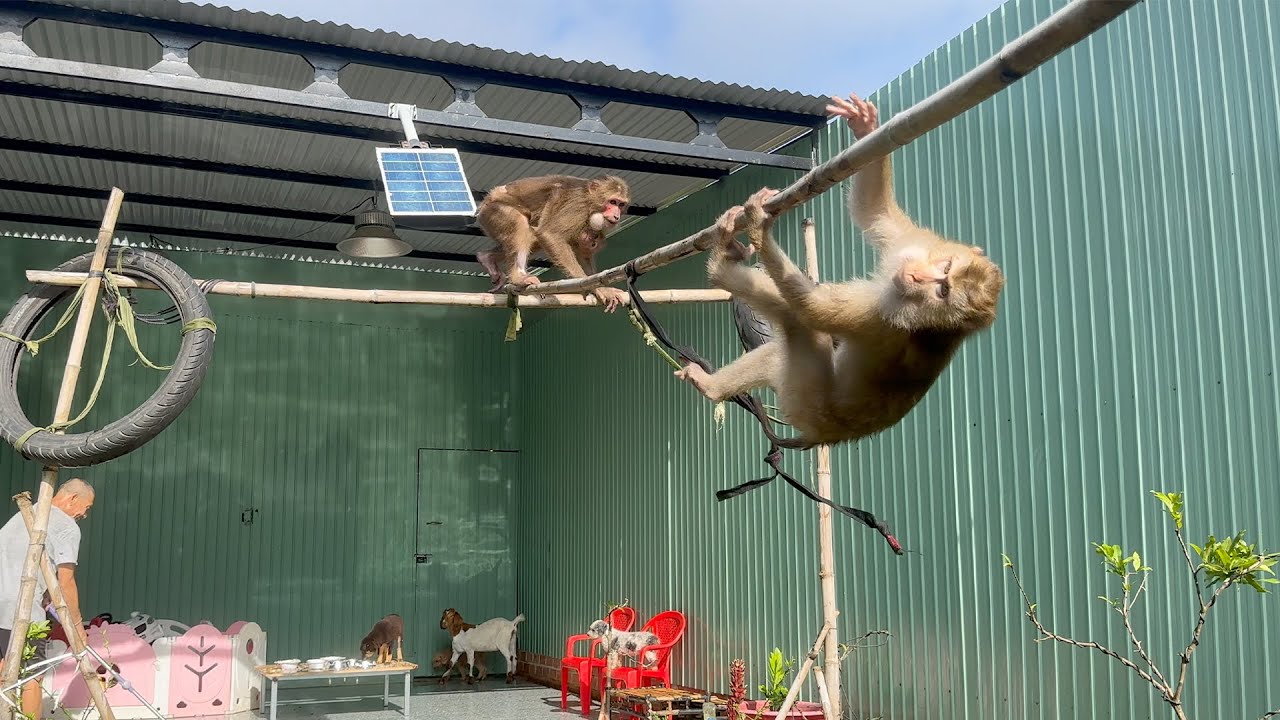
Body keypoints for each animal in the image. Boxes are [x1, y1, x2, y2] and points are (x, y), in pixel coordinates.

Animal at [475, 174, 631, 312]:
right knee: (520, 222)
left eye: (621, 204)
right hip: (493, 211)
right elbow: (550, 234)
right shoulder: (578, 205)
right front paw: (598, 288)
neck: (591, 202)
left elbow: (582, 255)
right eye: (612, 202)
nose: (617, 215)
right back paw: (518, 277)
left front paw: (604, 288)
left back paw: (487, 258)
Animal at [674, 93, 1005, 449]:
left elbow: (816, 309)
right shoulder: (918, 243)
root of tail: (827, 435)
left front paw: (760, 228)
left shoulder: (883, 320)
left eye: (943, 291)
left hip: (804, 395)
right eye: (944, 269)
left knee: (795, 324)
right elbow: (873, 209)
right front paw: (866, 126)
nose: (916, 277)